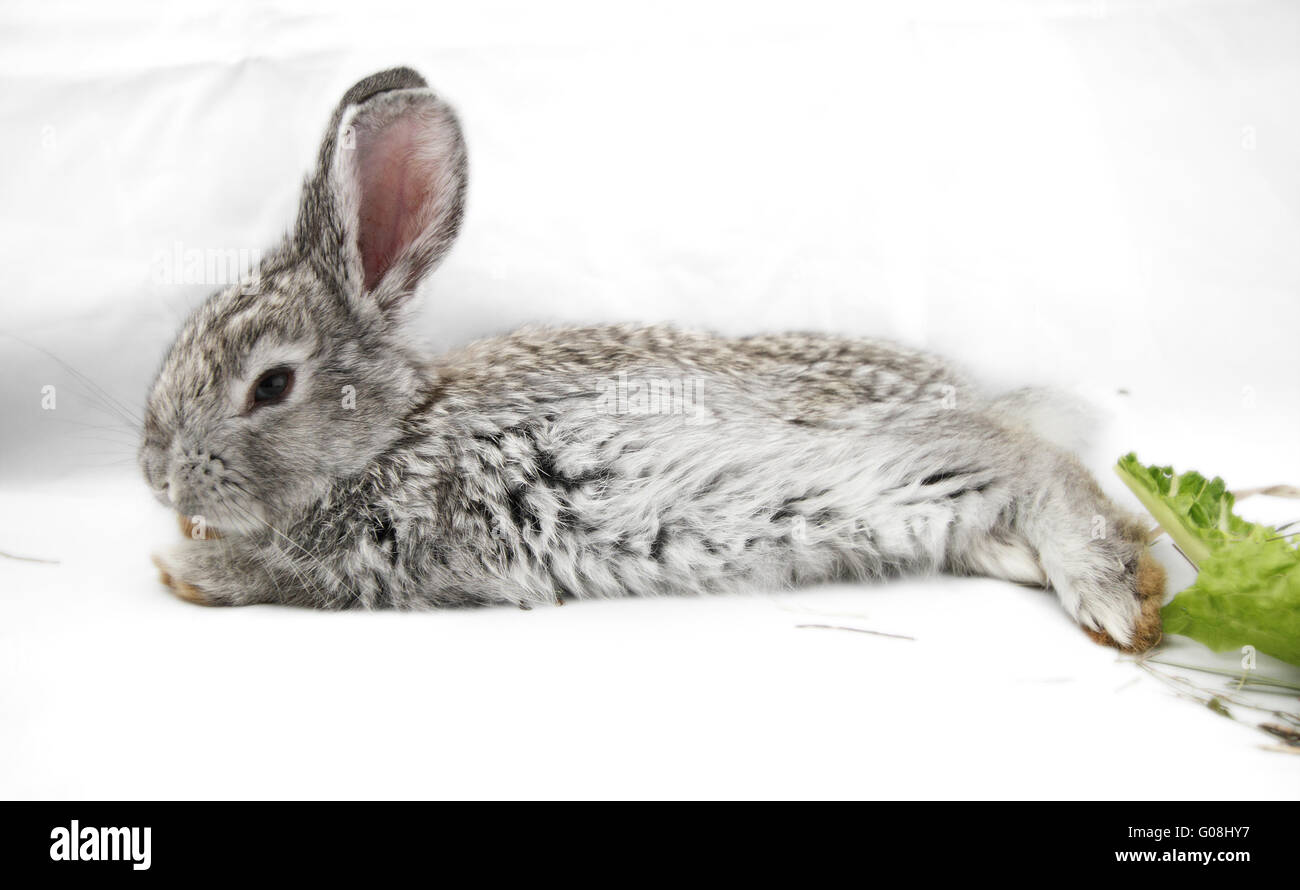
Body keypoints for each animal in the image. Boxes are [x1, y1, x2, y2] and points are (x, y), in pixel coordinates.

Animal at [140, 67, 1165, 651]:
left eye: (272, 385)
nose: (157, 476)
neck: (394, 435)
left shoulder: (384, 552)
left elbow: (286, 575)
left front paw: (185, 569)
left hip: (895, 463)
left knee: (1035, 467)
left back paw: (1115, 596)